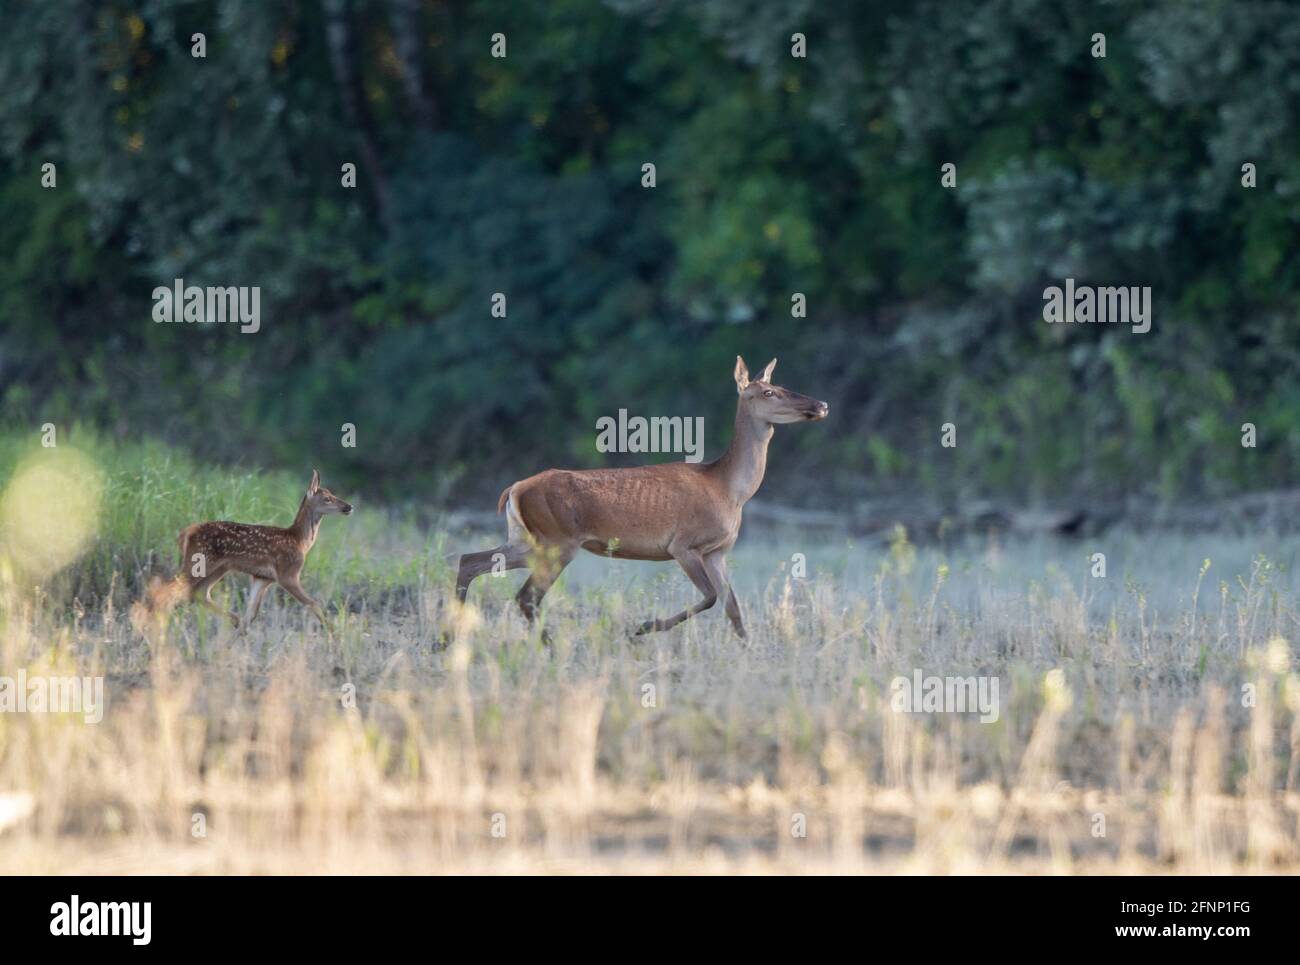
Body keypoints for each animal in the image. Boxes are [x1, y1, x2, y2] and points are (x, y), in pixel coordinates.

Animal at [134, 469, 352, 634]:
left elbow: (251, 615)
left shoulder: (262, 578)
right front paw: (335, 635)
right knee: (167, 589)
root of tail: (187, 532)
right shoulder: (287, 573)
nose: (349, 506)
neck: (300, 540)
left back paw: (232, 620)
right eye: (328, 498)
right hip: (201, 560)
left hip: (220, 567)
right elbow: (313, 603)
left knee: (198, 593)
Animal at [455, 356, 828, 639]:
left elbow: (733, 610)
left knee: (470, 562)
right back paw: (546, 648)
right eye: (769, 391)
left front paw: (748, 655)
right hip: (557, 540)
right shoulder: (683, 544)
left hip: (528, 540)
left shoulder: (717, 552)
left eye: (781, 386)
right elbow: (710, 598)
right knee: (526, 597)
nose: (822, 404)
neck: (729, 490)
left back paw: (449, 637)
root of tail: (514, 488)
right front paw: (643, 628)